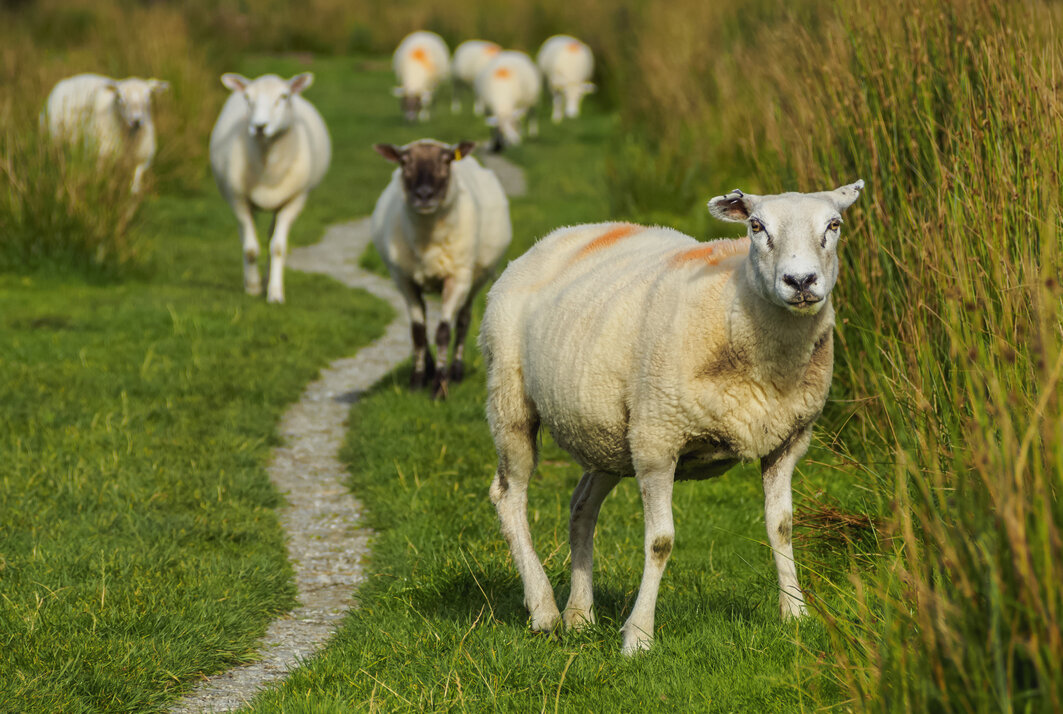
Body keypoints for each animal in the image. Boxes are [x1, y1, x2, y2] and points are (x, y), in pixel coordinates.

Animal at [209, 73, 331, 304]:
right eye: (248, 98)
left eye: (283, 96)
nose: (259, 126)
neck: (269, 168)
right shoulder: (238, 199)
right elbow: (250, 248)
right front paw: (253, 287)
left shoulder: (294, 201)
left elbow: (278, 248)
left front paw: (275, 293)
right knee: (247, 236)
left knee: (271, 237)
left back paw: (267, 280)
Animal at [371, 139, 512, 398]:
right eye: (404, 161)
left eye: (446, 160)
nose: (424, 195)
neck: (427, 242)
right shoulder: (404, 279)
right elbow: (418, 332)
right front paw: (417, 381)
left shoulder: (457, 278)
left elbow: (444, 332)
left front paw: (440, 386)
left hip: (476, 278)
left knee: (464, 321)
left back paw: (455, 371)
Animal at [480, 180, 866, 654]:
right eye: (756, 226)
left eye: (834, 225)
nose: (801, 281)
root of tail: (555, 238)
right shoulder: (657, 442)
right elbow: (660, 542)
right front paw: (639, 637)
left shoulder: (787, 440)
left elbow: (782, 527)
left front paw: (795, 612)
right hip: (511, 398)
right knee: (508, 495)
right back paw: (543, 608)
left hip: (610, 434)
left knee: (582, 506)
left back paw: (580, 614)